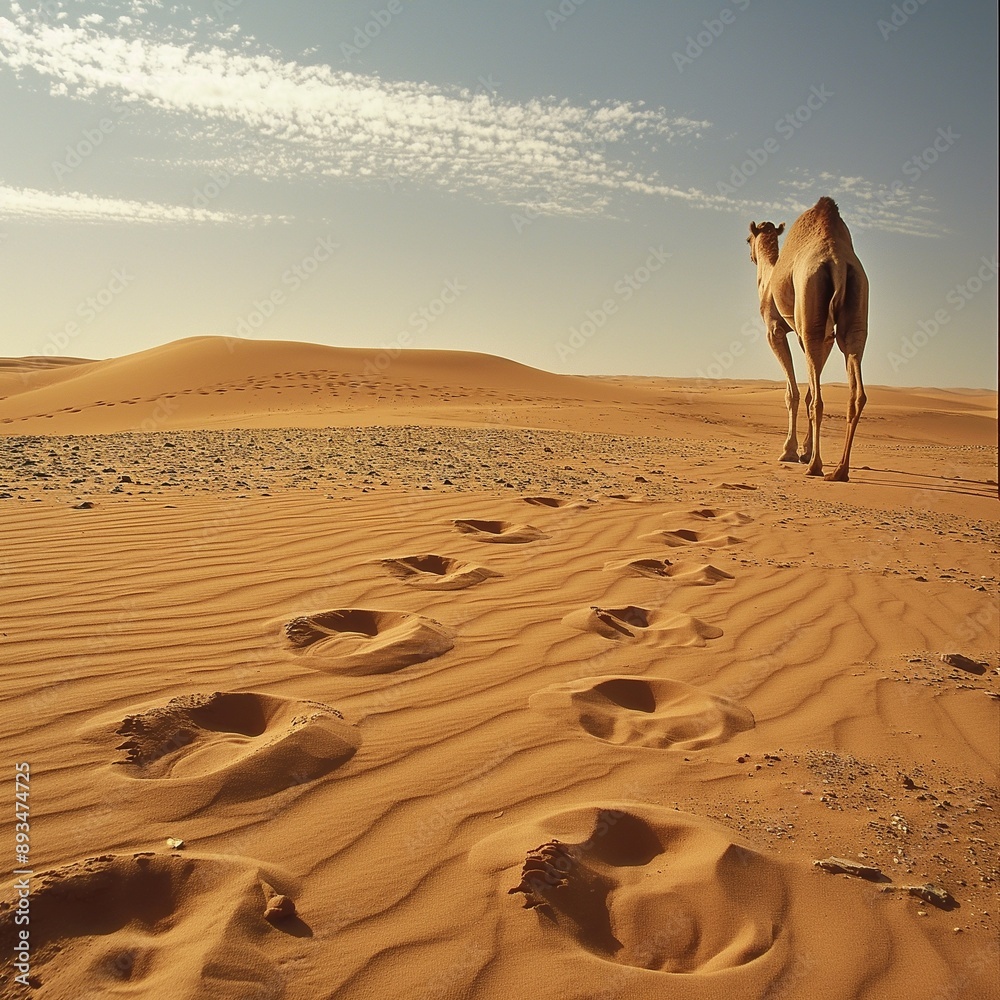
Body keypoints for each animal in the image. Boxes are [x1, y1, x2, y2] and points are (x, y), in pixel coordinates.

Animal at [747, 196, 869, 482]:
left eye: (748, 239)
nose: (750, 255)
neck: (769, 277)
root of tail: (838, 262)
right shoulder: (824, 337)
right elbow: (809, 389)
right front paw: (804, 450)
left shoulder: (774, 329)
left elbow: (792, 393)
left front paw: (790, 452)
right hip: (854, 318)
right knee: (856, 391)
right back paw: (839, 470)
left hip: (810, 302)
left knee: (819, 401)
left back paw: (816, 466)